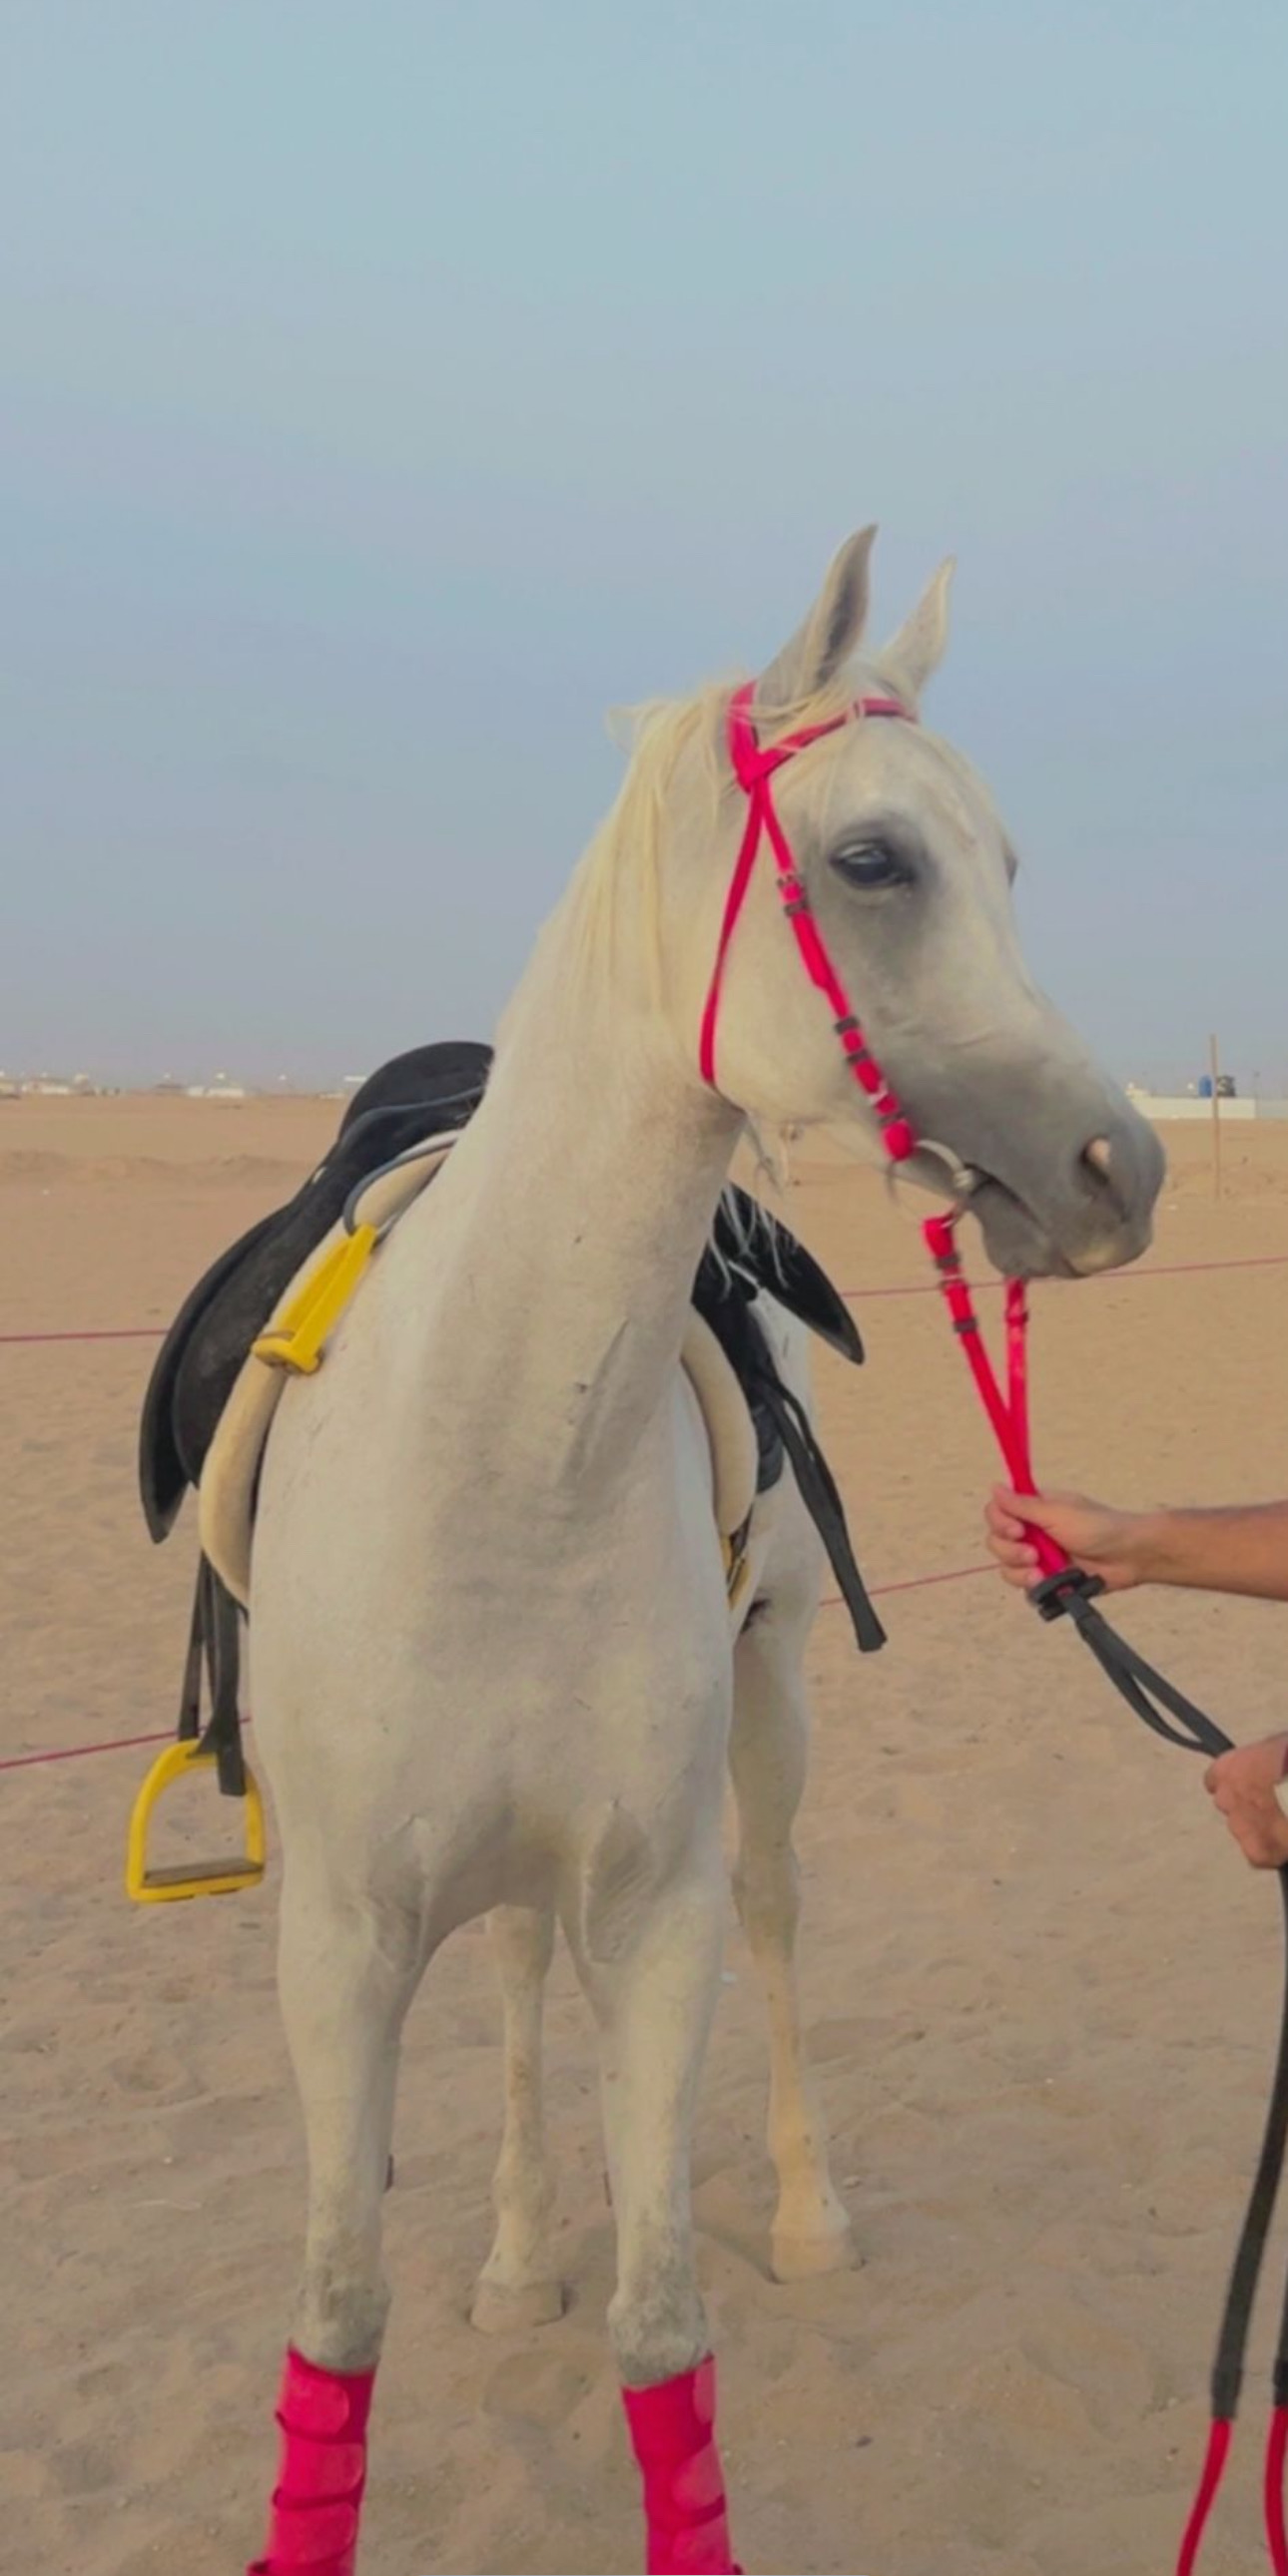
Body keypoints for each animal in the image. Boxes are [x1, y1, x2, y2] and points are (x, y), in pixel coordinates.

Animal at [241, 526, 1163, 2574]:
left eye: (1006, 864)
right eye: (877, 859)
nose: (1123, 1170)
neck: (496, 1453)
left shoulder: (653, 1915)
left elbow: (667, 2322)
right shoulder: (336, 1942)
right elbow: (334, 2316)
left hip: (776, 1693)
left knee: (775, 1910)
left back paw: (806, 2214)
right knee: (514, 1972)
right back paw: (516, 2249)